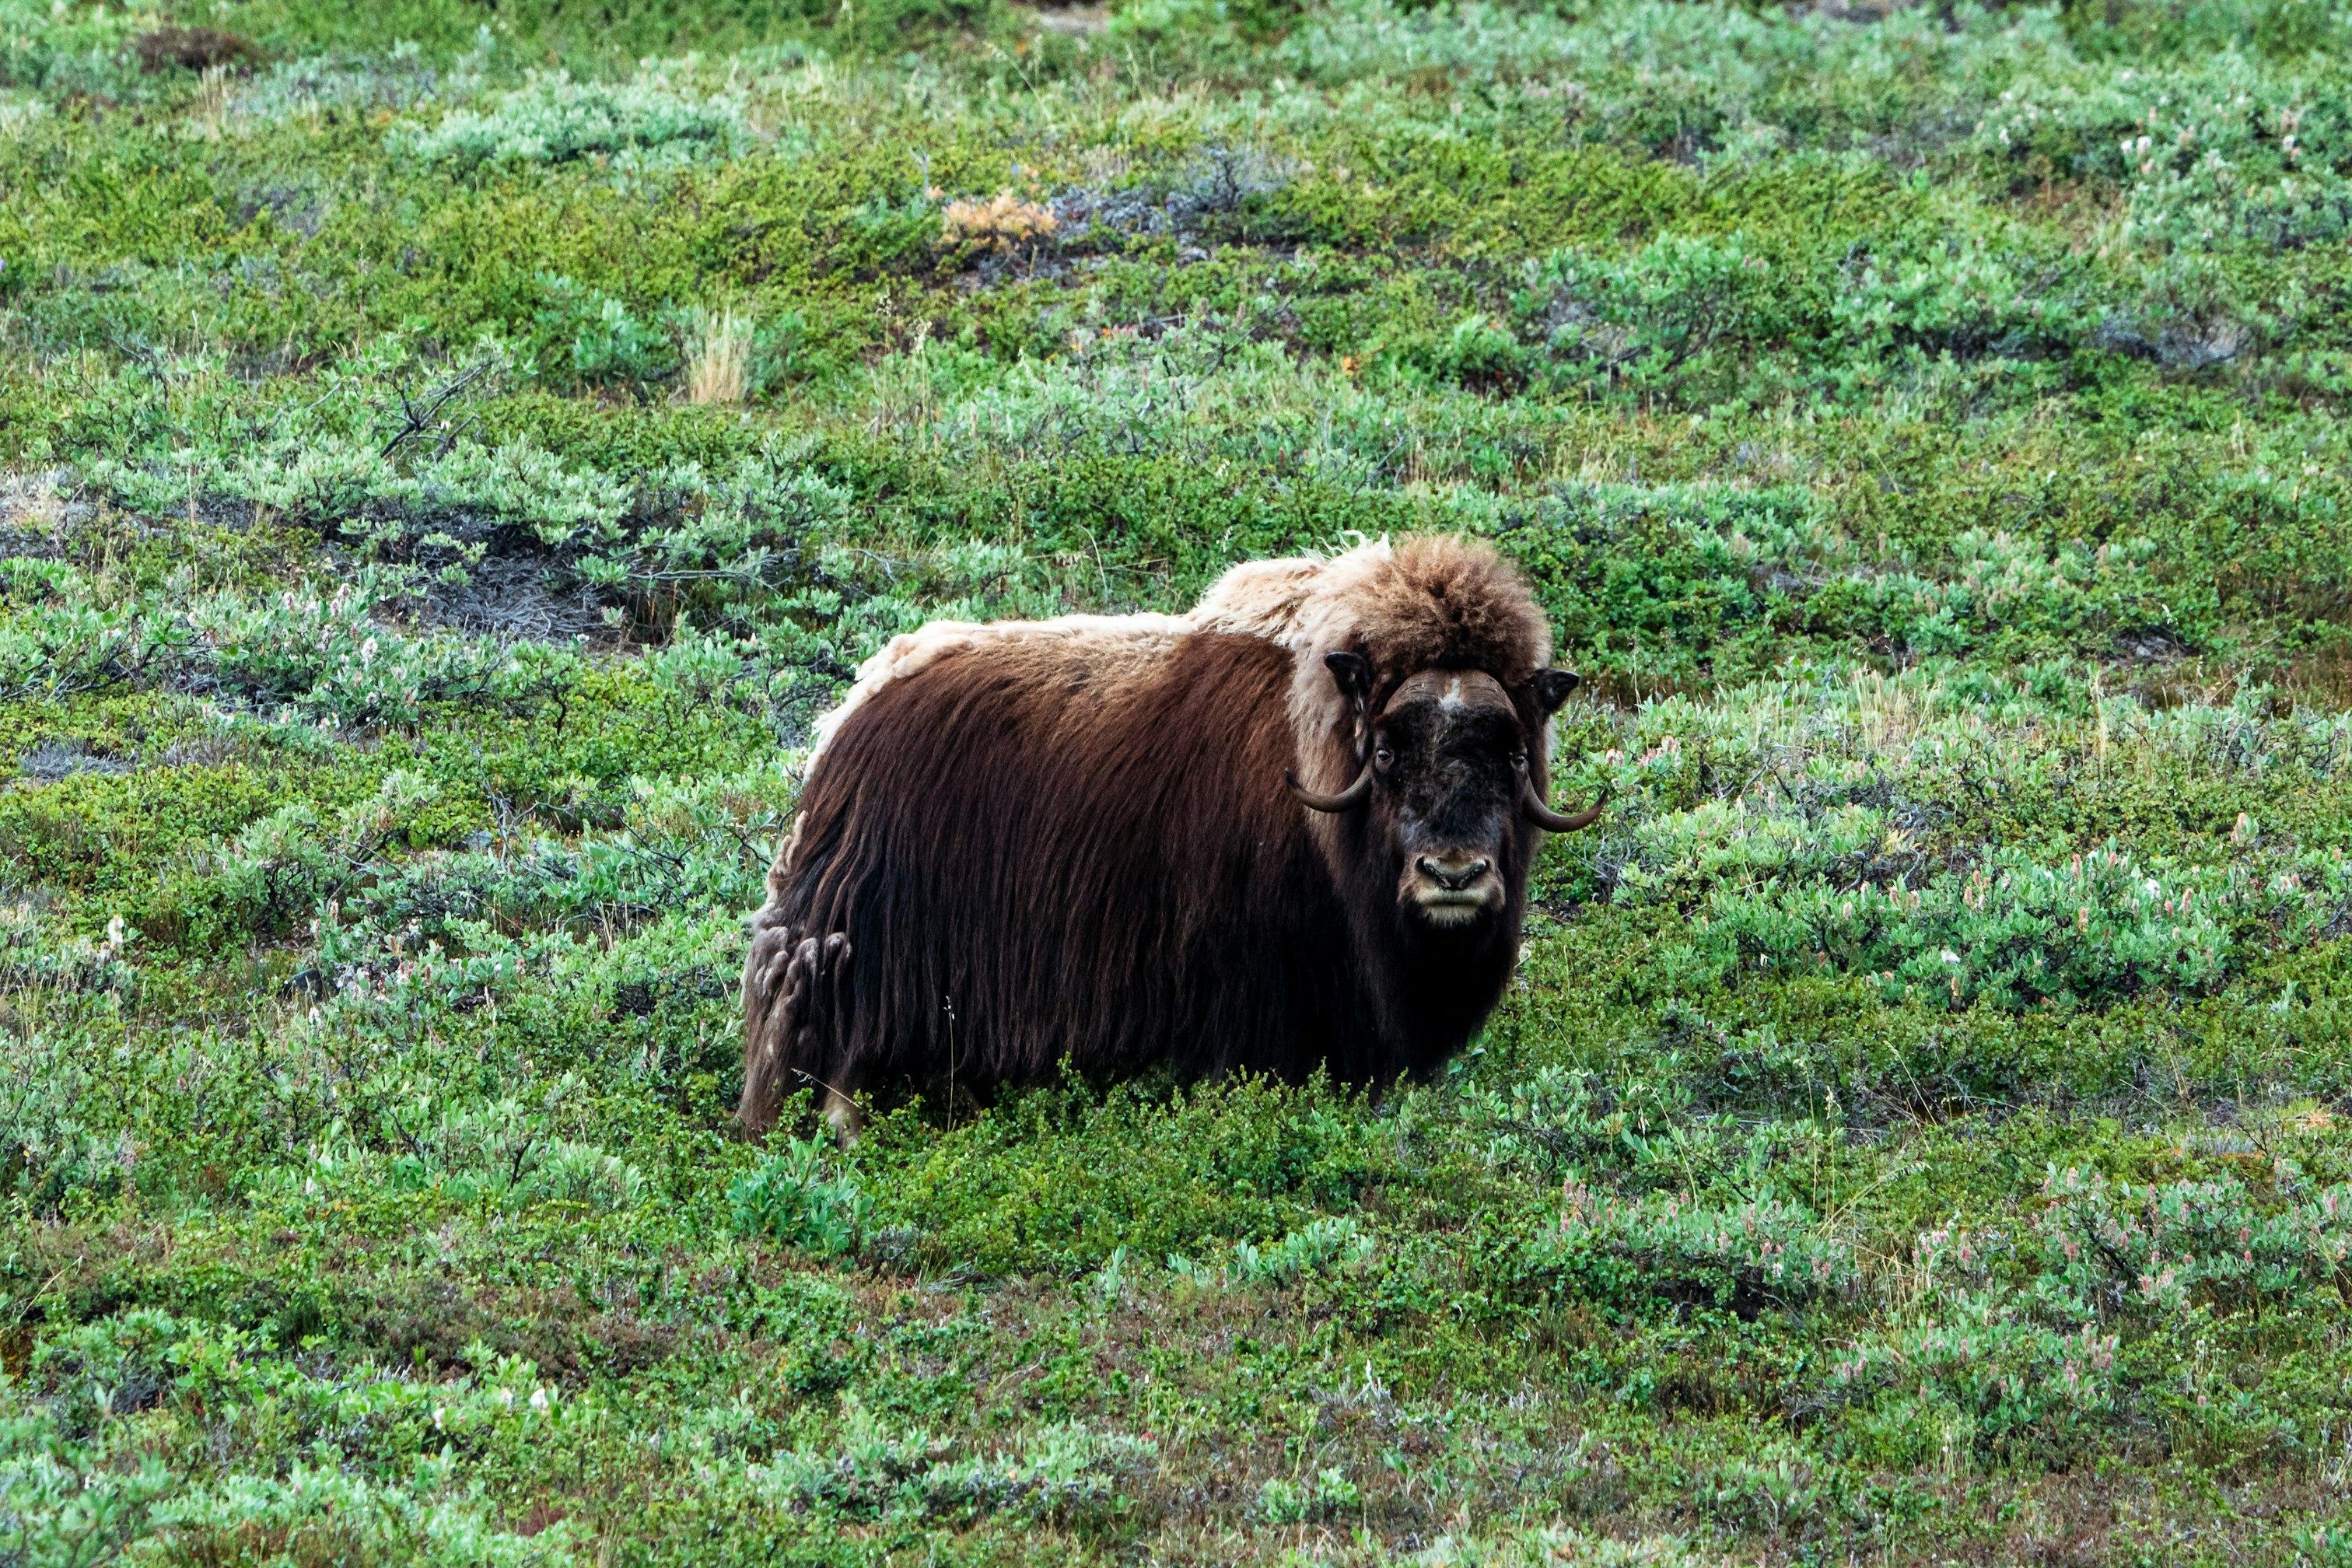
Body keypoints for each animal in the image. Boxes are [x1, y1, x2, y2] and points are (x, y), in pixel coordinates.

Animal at [737, 535, 1605, 1141]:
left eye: (1513, 755)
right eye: (1389, 752)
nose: (1452, 876)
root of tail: (855, 712)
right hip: (869, 941)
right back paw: (848, 1129)